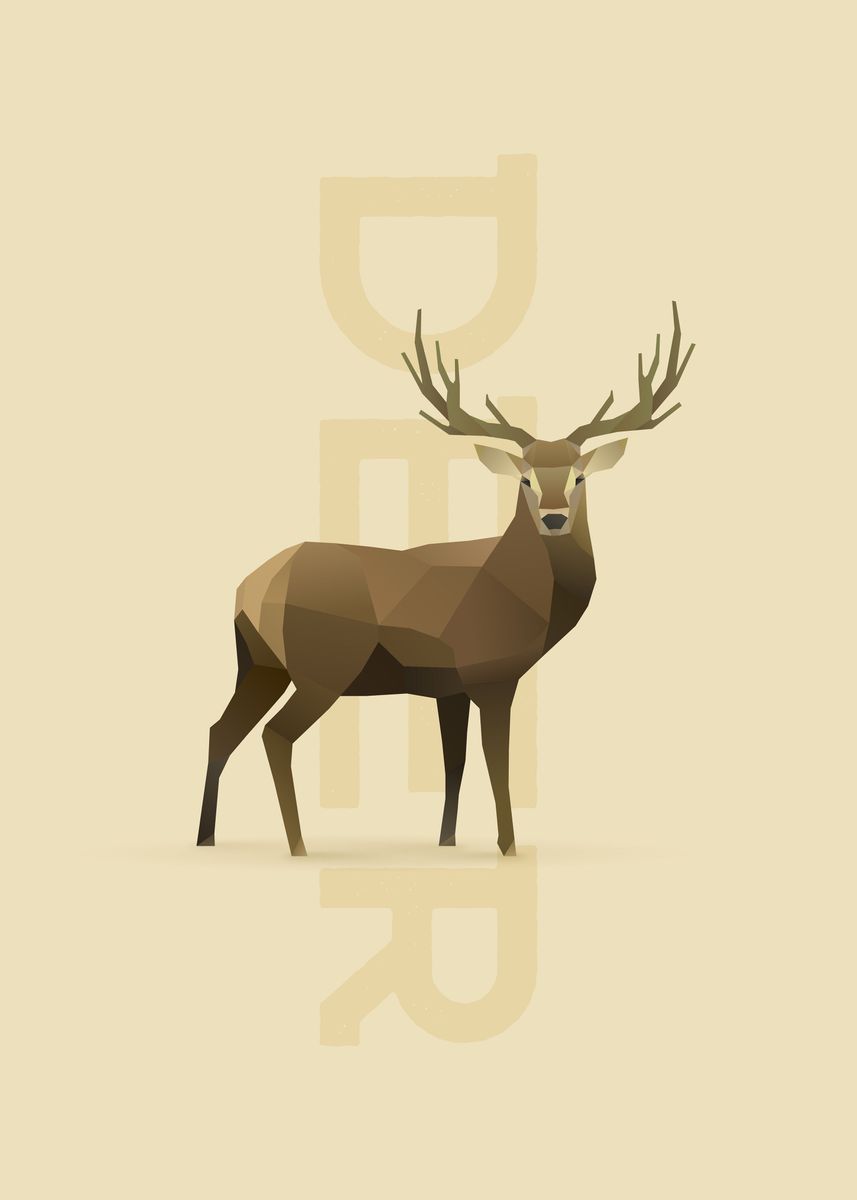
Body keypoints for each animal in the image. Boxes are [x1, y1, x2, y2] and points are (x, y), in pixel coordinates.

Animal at [197, 303, 695, 856]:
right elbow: (497, 764)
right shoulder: (491, 674)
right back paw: (299, 847)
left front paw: (447, 841)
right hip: (322, 667)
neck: (516, 593)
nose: (554, 517)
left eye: (578, 476)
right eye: (525, 477)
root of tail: (250, 590)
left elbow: (453, 761)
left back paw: (207, 838)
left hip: (258, 664)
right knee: (275, 736)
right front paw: (508, 847)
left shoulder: (446, 687)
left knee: (220, 729)